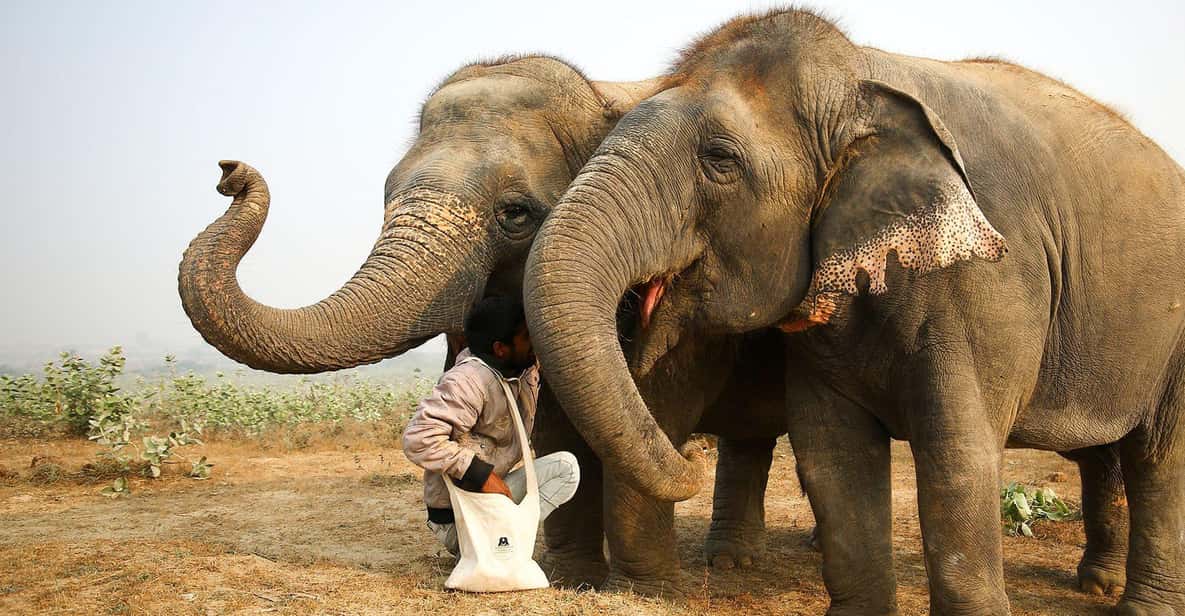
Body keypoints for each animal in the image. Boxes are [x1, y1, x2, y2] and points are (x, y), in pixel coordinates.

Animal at [524, 9, 1184, 614]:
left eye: (720, 159)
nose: (687, 461)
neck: (863, 79)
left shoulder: (990, 280)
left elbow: (958, 455)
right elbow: (831, 454)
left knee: (1159, 458)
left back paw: (1134, 602)